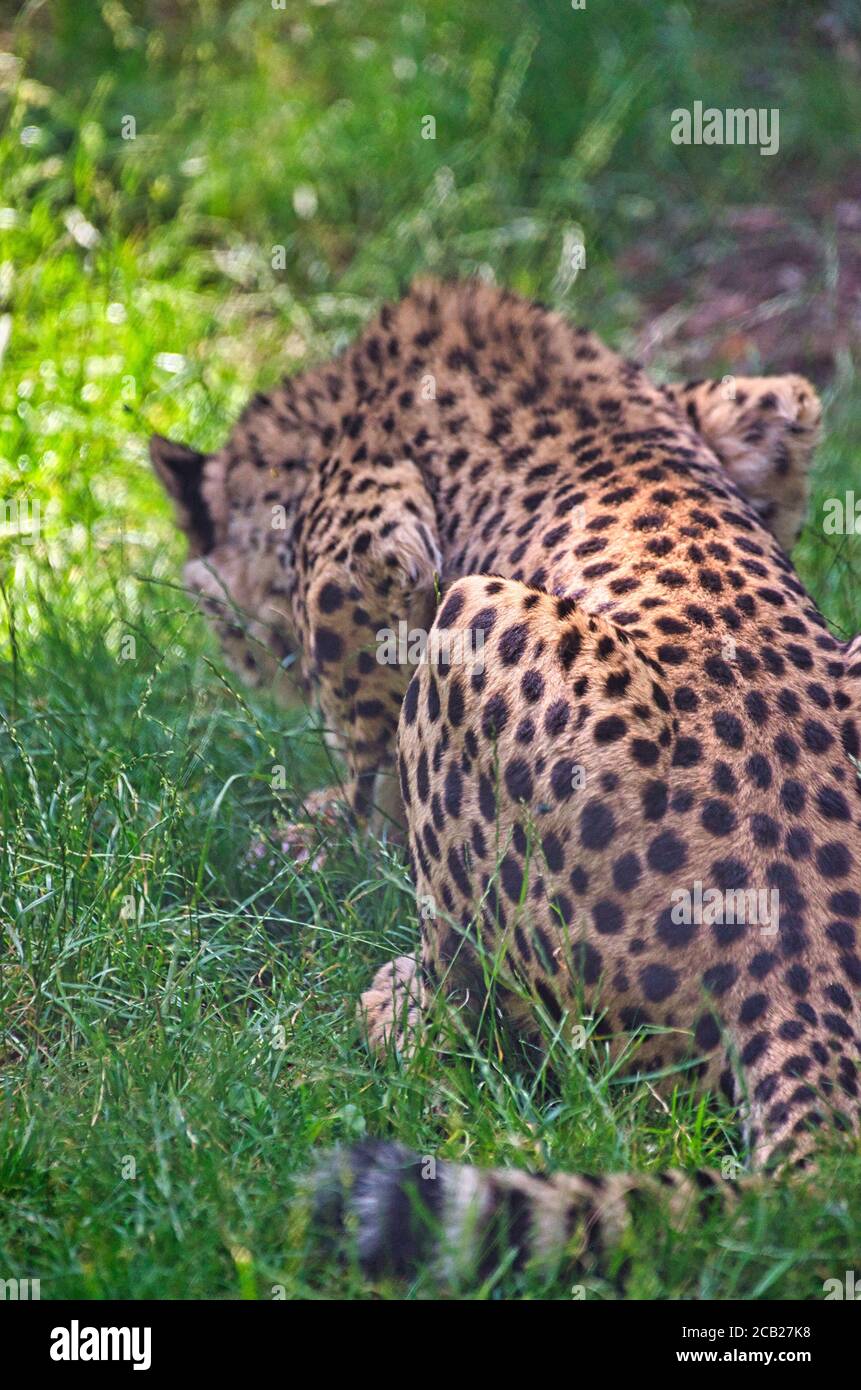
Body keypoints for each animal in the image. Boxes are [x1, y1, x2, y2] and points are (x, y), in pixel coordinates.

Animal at [151, 278, 861, 1283]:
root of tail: (803, 947)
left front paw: (327, 836)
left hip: (477, 613)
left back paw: (404, 1004)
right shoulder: (766, 413)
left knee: (496, 1012)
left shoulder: (370, 554)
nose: (239, 656)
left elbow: (365, 735)